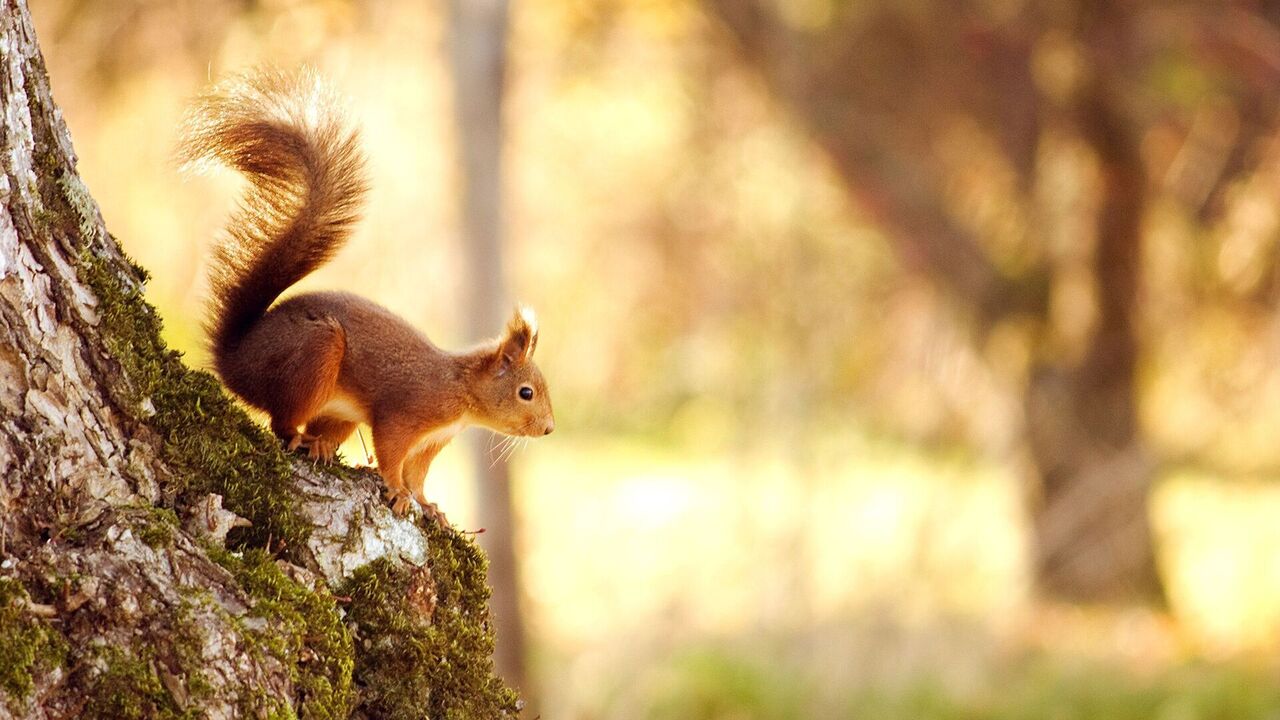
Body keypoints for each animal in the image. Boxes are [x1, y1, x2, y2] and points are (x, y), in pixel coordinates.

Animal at [180, 68, 554, 520]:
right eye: (525, 392)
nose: (549, 428)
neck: (461, 391)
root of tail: (235, 358)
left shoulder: (433, 440)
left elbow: (418, 473)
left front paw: (429, 505)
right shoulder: (407, 413)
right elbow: (392, 453)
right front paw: (397, 491)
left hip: (339, 410)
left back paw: (322, 445)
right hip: (314, 355)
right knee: (281, 422)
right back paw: (302, 438)